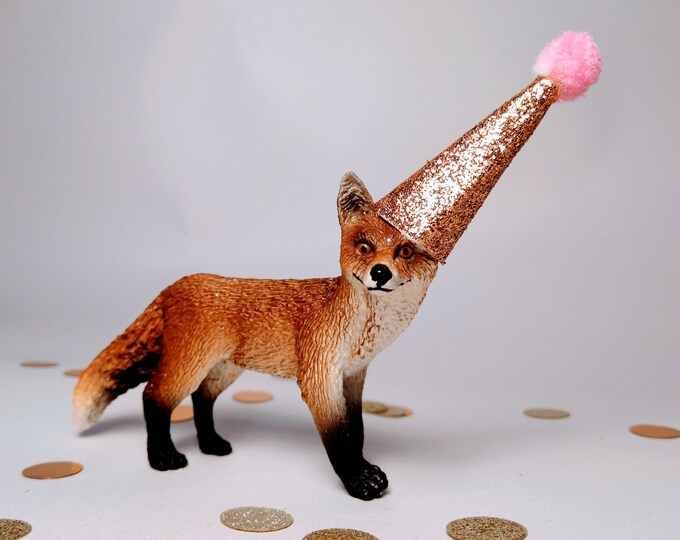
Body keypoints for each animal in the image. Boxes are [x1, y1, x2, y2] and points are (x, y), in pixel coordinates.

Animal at [73, 172, 438, 501]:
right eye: (365, 247)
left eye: (405, 252)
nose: (380, 272)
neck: (361, 331)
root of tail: (176, 285)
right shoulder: (319, 378)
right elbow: (339, 439)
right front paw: (357, 480)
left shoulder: (353, 376)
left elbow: (356, 430)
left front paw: (363, 464)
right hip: (188, 366)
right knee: (153, 397)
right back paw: (162, 456)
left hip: (224, 369)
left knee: (201, 398)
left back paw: (210, 443)